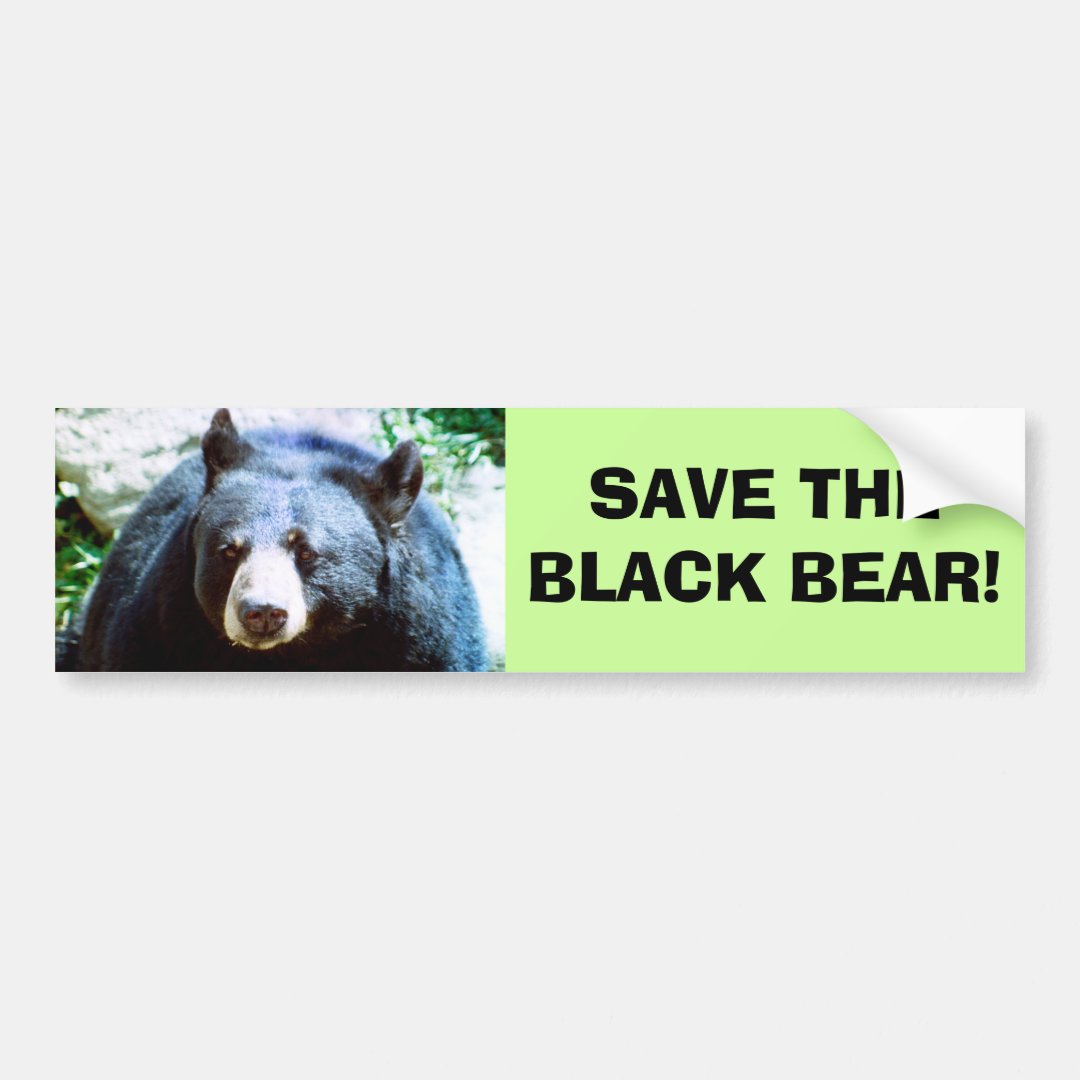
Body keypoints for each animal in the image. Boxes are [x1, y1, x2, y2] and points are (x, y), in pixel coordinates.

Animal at [61, 409, 488, 671]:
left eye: (307, 552)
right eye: (228, 550)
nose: (263, 612)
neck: (294, 653)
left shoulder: (424, 636)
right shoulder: (159, 625)